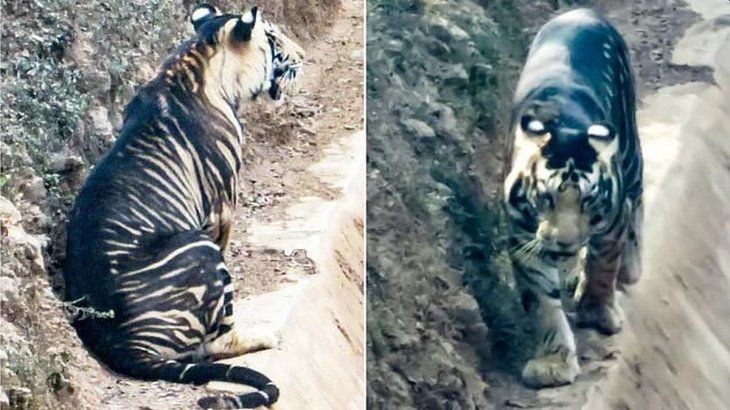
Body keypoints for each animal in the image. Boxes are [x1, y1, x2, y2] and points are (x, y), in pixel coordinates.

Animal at [63, 4, 304, 408]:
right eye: (273, 38)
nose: (302, 56)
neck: (200, 59)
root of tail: (122, 344)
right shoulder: (223, 208)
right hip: (199, 249)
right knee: (213, 344)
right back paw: (264, 334)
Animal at [503, 9, 643, 388]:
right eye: (546, 198)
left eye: (588, 201)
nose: (565, 243)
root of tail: (583, 11)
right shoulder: (523, 238)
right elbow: (543, 304)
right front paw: (552, 365)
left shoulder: (612, 221)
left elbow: (602, 266)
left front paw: (597, 312)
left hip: (631, 152)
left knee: (638, 200)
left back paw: (631, 268)